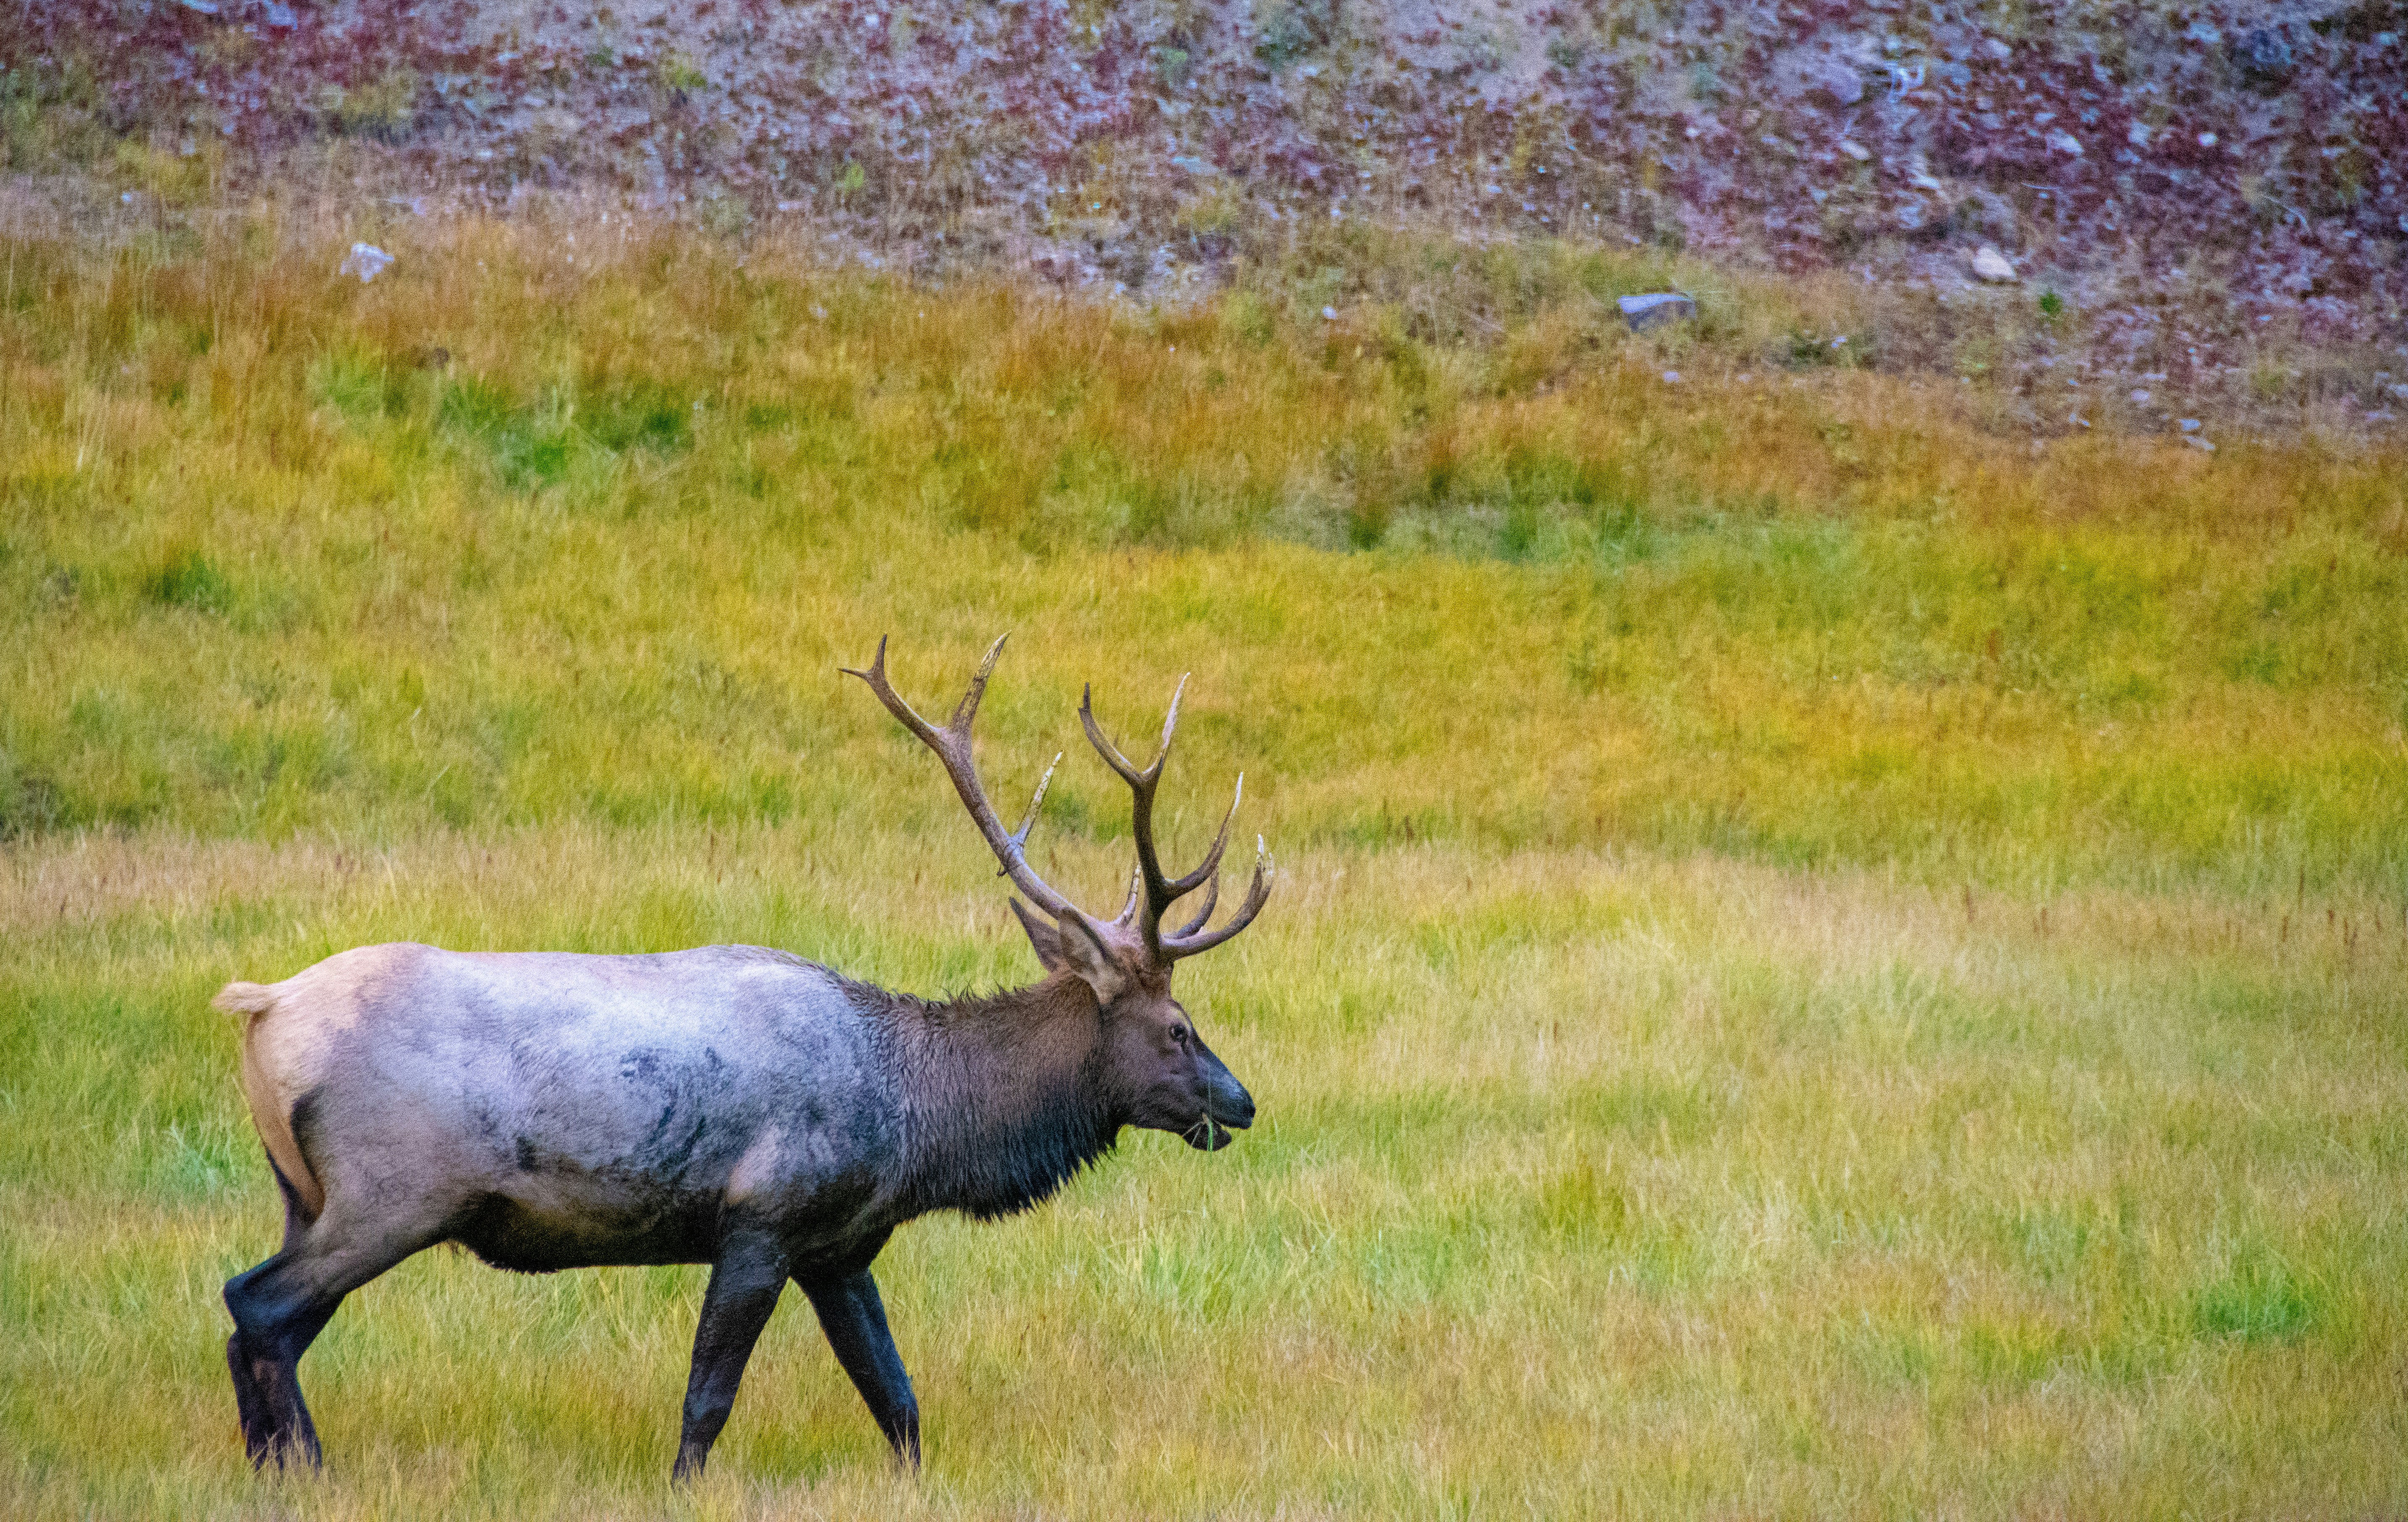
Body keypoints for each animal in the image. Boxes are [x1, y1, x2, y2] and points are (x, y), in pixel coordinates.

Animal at [212, 635, 1271, 1481]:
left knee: (257, 1320)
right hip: (393, 1191)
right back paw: (307, 1470)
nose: (1243, 1100)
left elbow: (896, 1396)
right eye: (1177, 1026)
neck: (916, 1118)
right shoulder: (764, 1216)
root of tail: (264, 1008)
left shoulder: (840, 1246)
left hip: (307, 1192)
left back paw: (273, 1470)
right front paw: (683, 1486)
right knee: (256, 1304)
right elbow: (708, 1397)